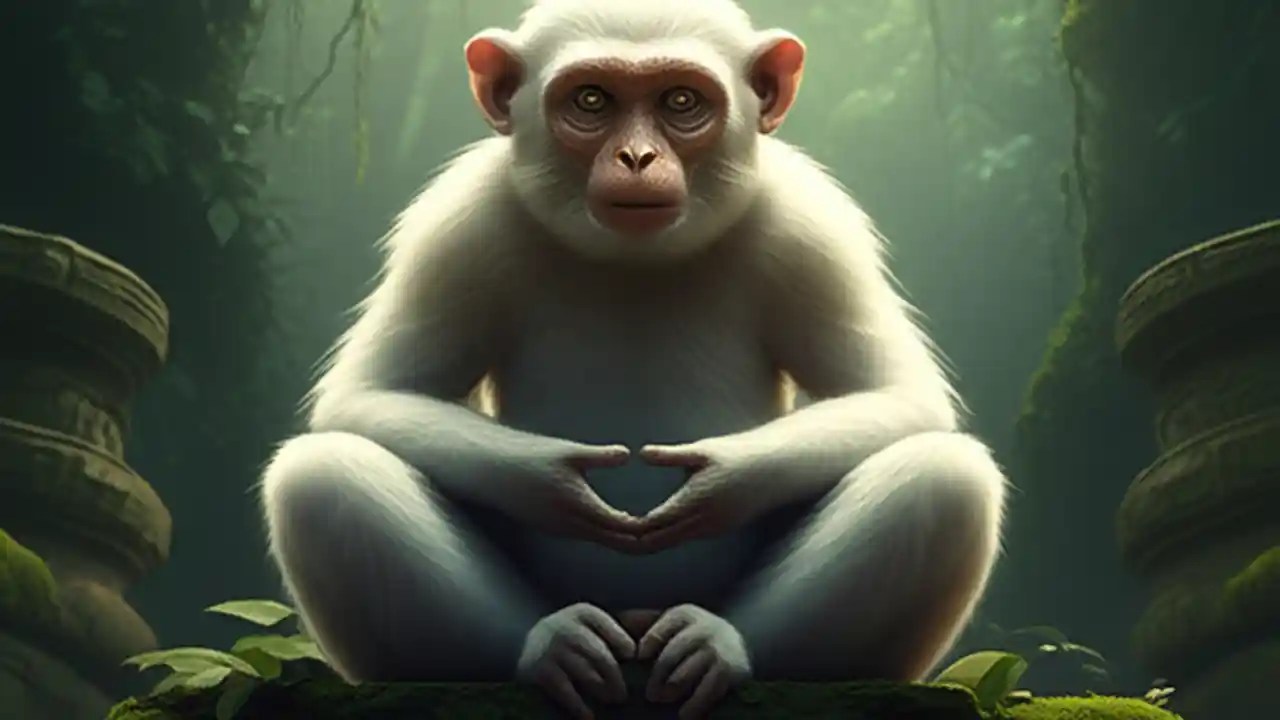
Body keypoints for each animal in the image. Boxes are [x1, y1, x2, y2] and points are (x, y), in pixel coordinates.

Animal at [258, 1, 1007, 718]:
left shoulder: (813, 223)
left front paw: (718, 482)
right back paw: (550, 648)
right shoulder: (456, 221)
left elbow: (898, 398)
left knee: (943, 476)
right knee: (323, 474)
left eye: (681, 101)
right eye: (592, 100)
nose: (638, 157)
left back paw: (719, 646)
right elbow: (371, 397)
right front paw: (551, 480)